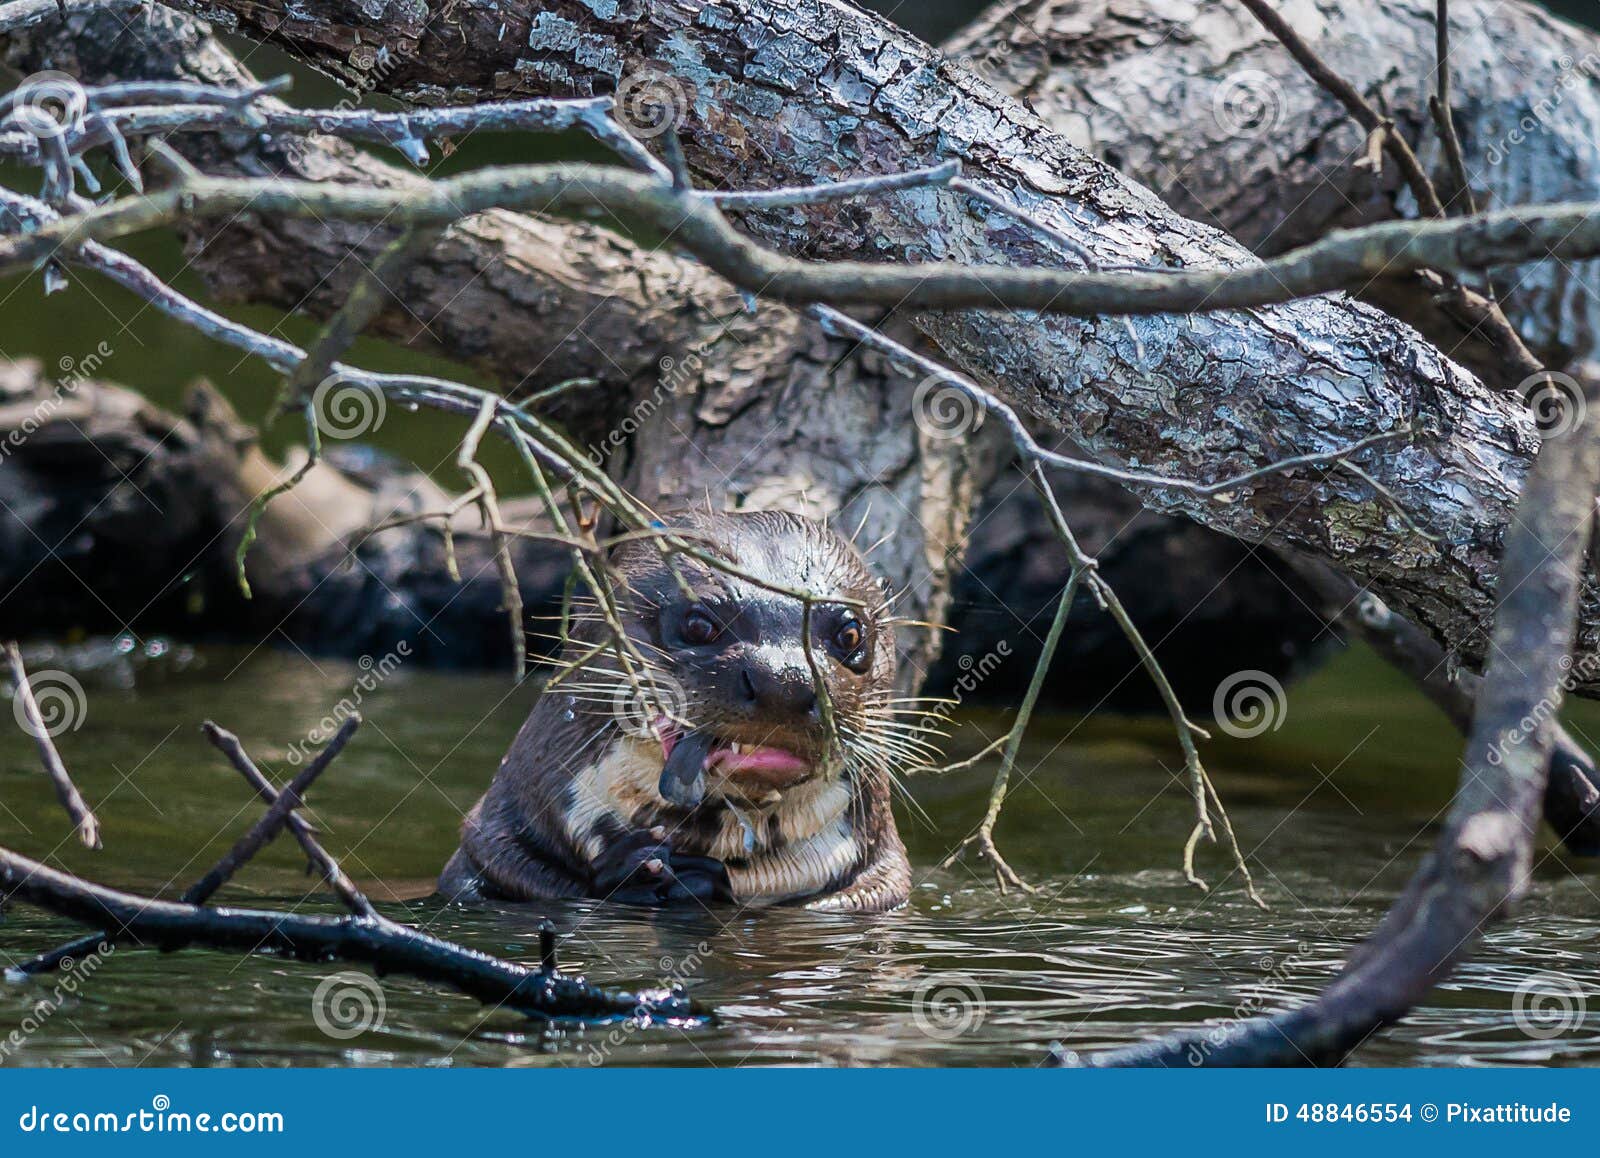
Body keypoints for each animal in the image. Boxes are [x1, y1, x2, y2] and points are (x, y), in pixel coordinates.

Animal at [438, 509, 920, 913]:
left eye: (850, 632)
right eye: (699, 623)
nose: (785, 679)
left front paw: (699, 878)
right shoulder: (489, 851)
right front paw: (634, 865)